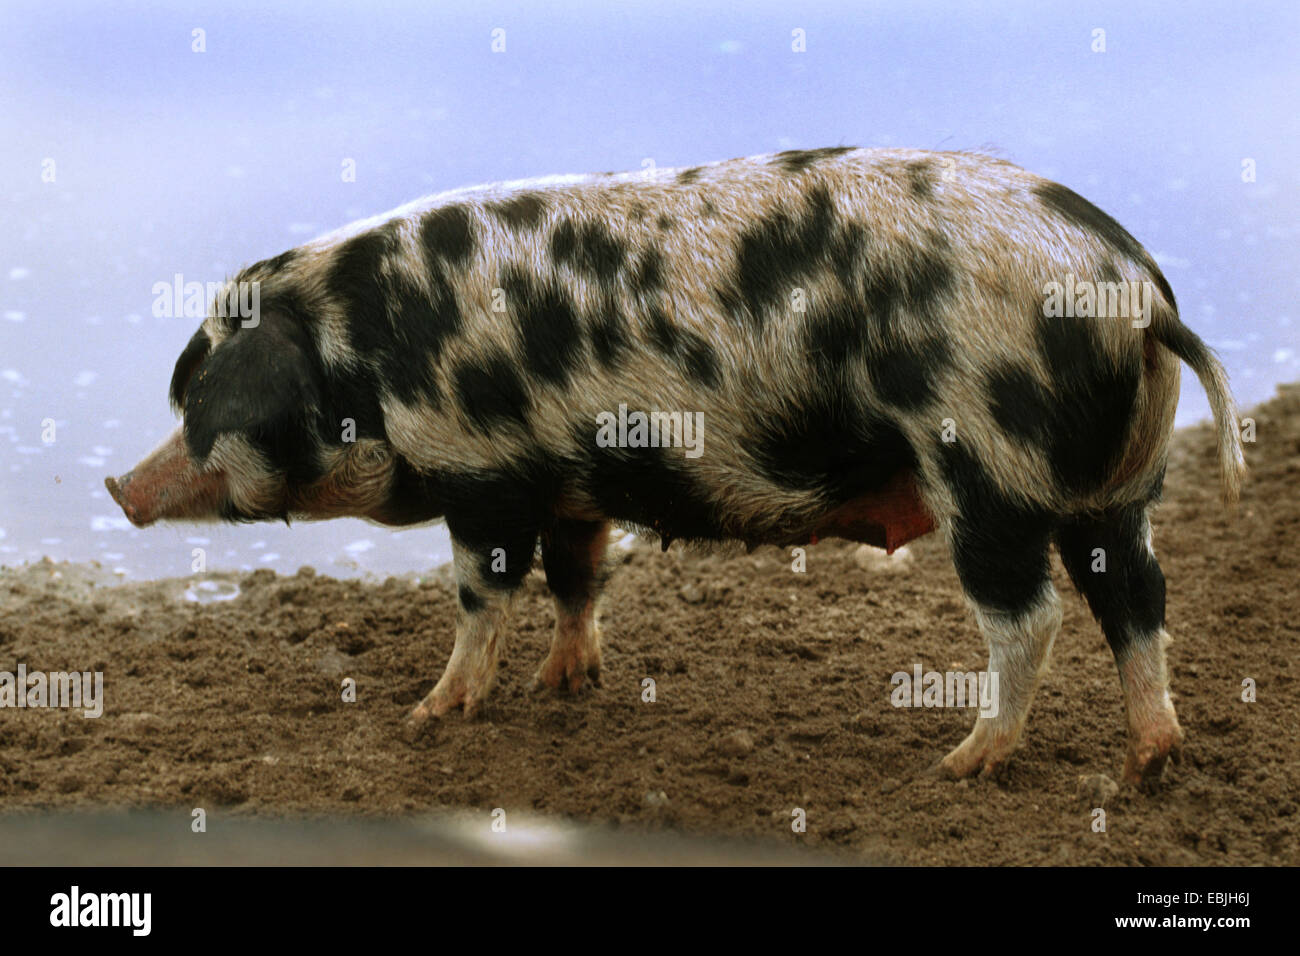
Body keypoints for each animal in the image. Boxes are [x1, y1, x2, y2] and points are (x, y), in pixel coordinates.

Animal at [106, 147, 1245, 786]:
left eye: (199, 399)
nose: (117, 486)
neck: (372, 355)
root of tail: (1136, 289)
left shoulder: (481, 470)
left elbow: (483, 591)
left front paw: (431, 711)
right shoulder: (566, 480)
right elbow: (577, 575)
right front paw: (567, 683)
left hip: (985, 464)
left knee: (1032, 615)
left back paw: (959, 766)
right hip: (1118, 486)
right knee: (1138, 598)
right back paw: (1150, 761)